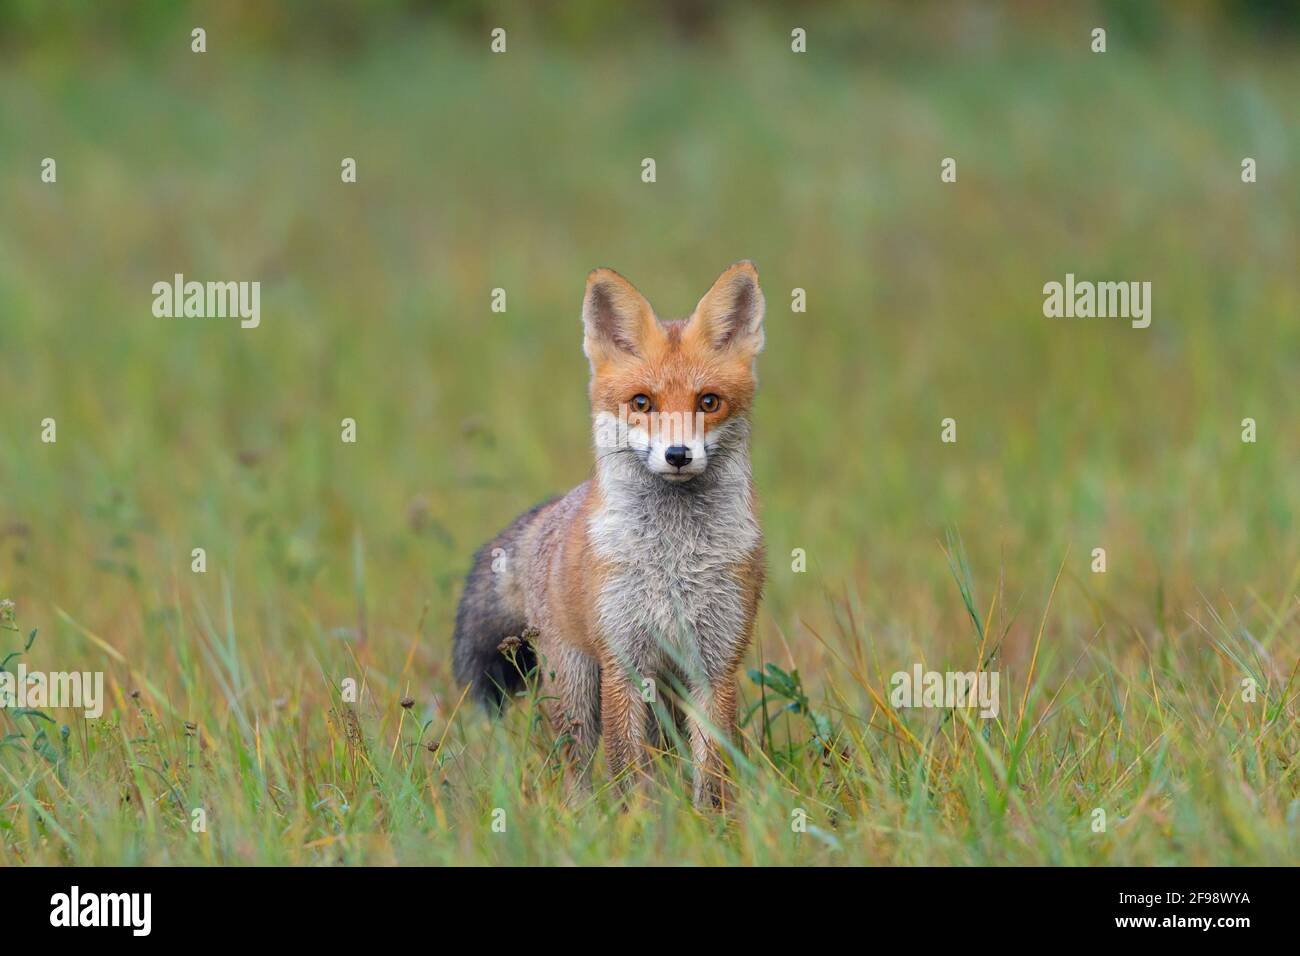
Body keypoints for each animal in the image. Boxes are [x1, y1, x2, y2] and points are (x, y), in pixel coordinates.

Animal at [452, 261, 766, 807]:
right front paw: (632, 820)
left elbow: (711, 773)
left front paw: (708, 823)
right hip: (577, 687)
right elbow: (625, 764)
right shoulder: (624, 661)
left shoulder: (715, 663)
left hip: (668, 687)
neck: (673, 561)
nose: (678, 454)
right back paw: (578, 816)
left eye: (709, 402)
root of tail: (556, 508)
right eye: (642, 402)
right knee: (575, 765)